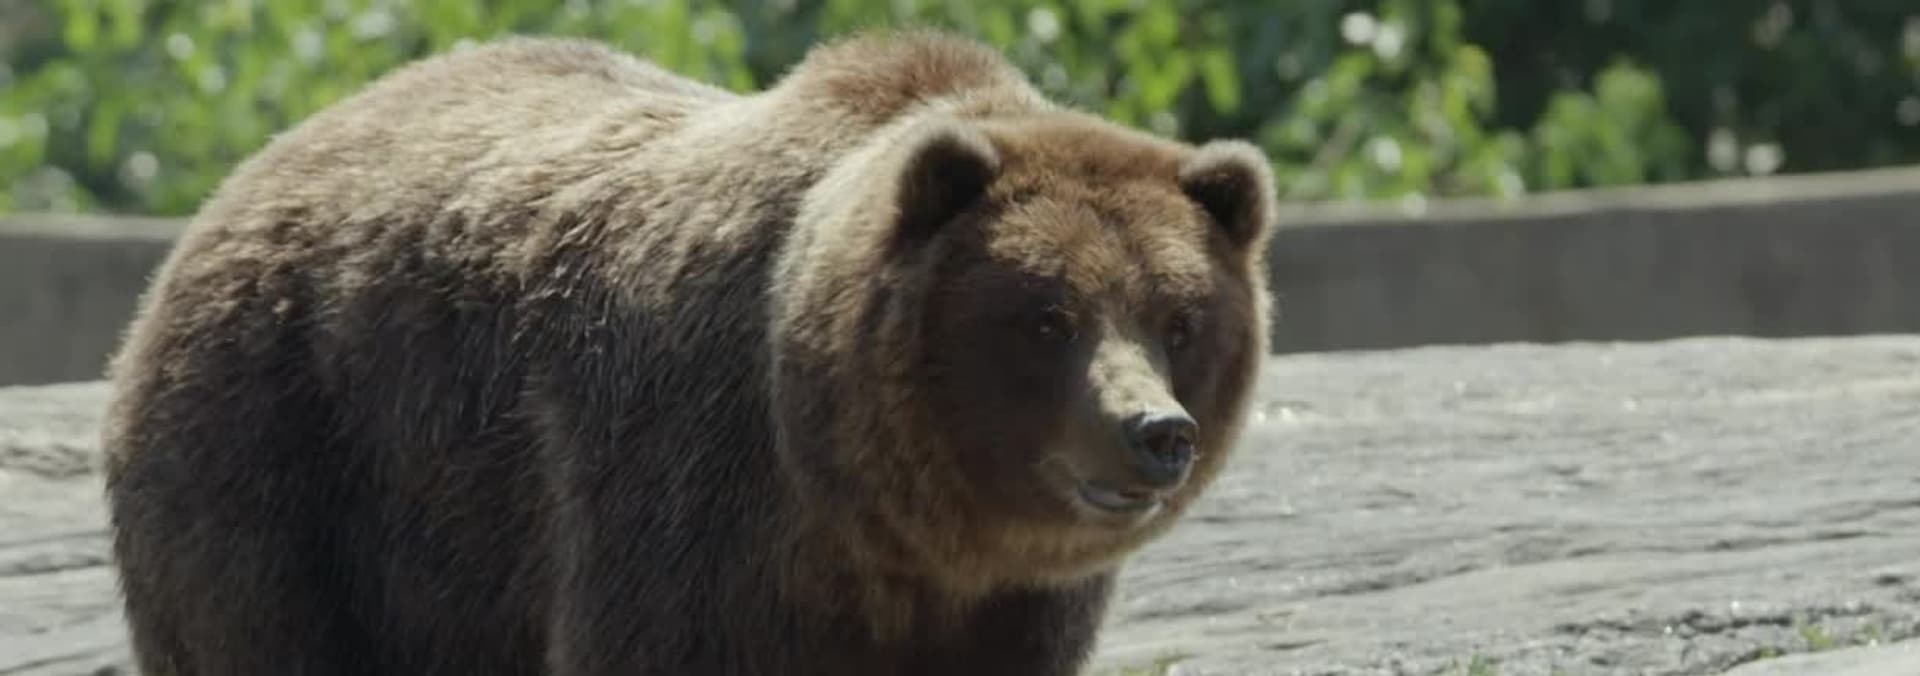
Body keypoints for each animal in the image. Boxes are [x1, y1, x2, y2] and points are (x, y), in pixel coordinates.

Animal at [99, 29, 1277, 676]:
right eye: (1046, 318)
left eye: (1179, 319)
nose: (1153, 432)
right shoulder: (693, 487)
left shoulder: (1005, 606)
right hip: (293, 461)